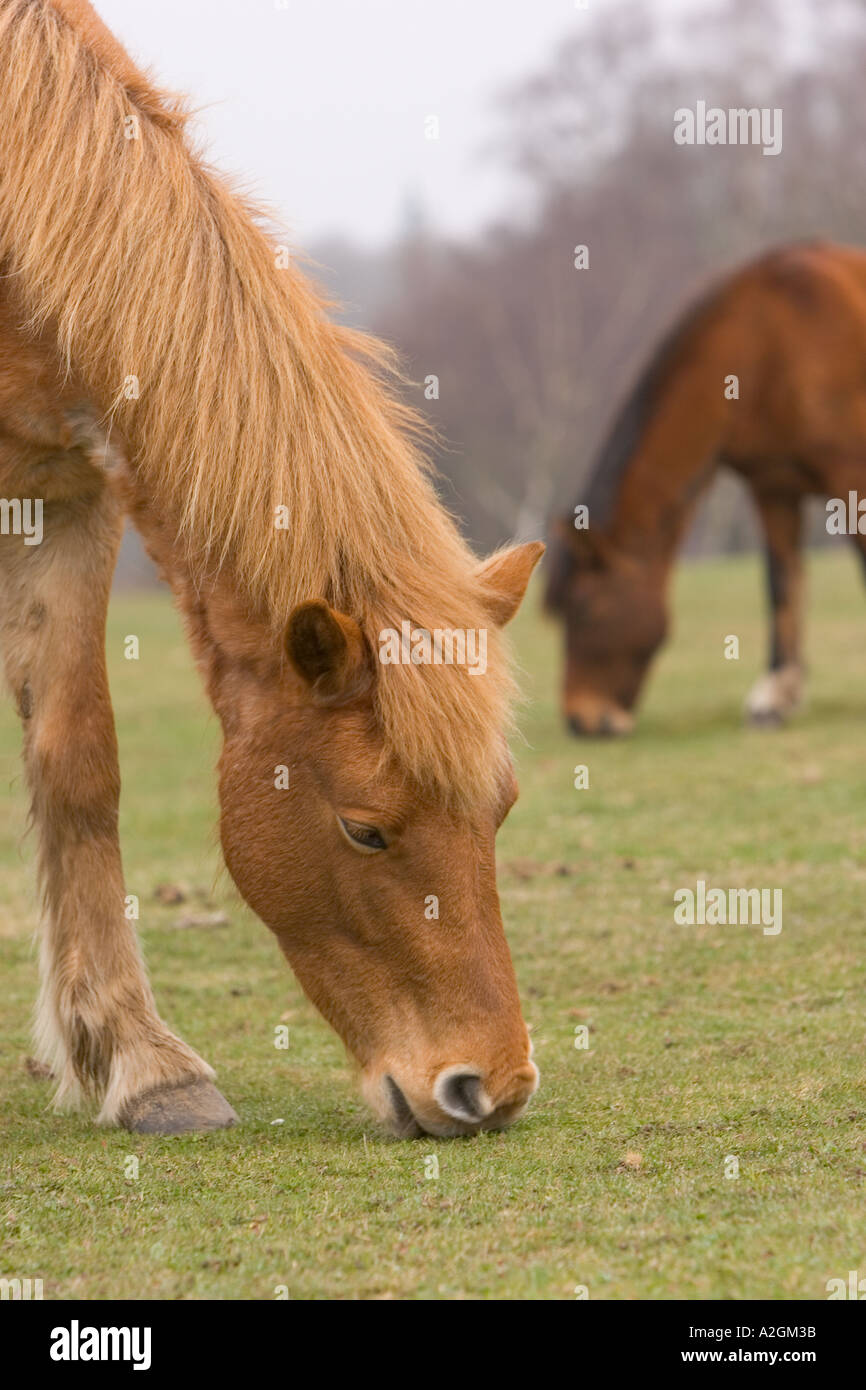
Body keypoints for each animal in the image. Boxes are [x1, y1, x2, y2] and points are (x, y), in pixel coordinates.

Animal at [0, 0, 543, 1139]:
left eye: (501, 807)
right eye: (366, 831)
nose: (491, 1087)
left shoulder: (67, 498)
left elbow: (77, 762)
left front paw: (140, 1061)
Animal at [545, 240, 866, 735]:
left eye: (585, 608)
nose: (582, 720)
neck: (773, 340)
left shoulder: (851, 475)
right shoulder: (773, 486)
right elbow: (781, 582)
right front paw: (776, 696)